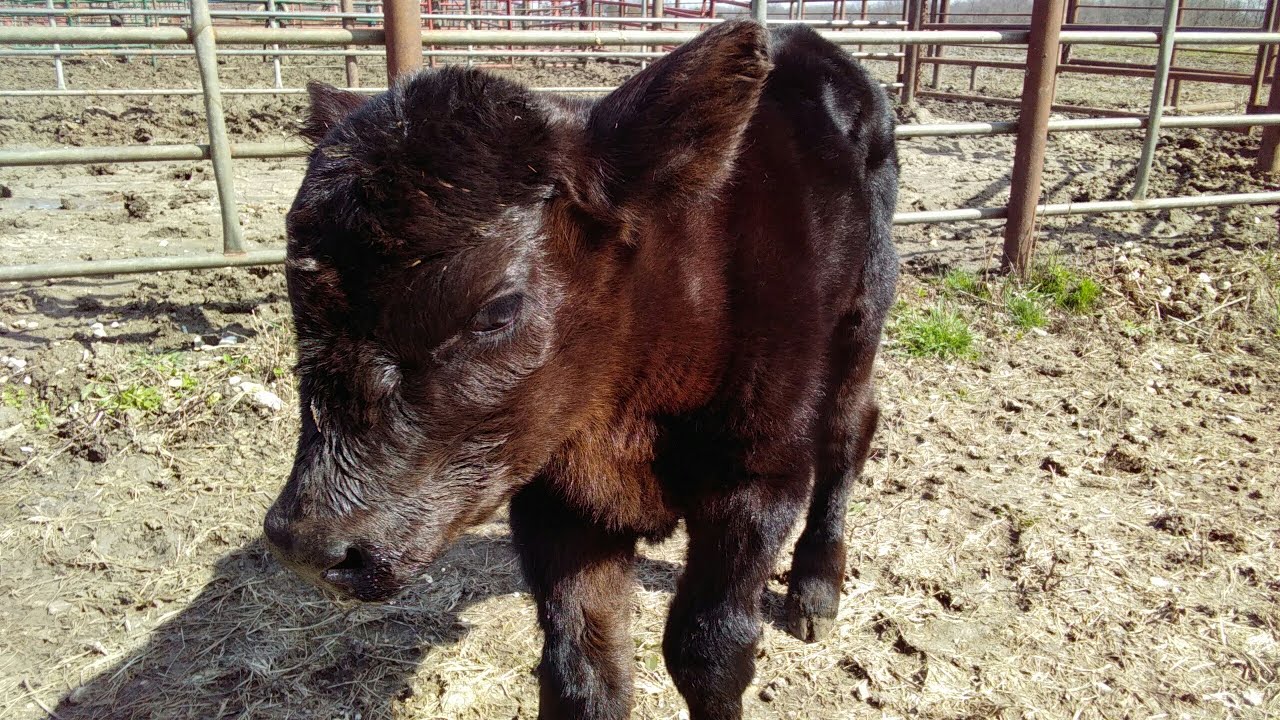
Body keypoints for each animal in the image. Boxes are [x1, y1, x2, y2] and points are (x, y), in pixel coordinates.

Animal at [264, 19, 899, 720]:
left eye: (497, 310)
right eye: (298, 297)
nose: (310, 544)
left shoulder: (761, 473)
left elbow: (709, 650)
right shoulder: (555, 496)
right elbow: (584, 669)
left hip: (862, 311)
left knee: (851, 427)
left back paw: (816, 589)